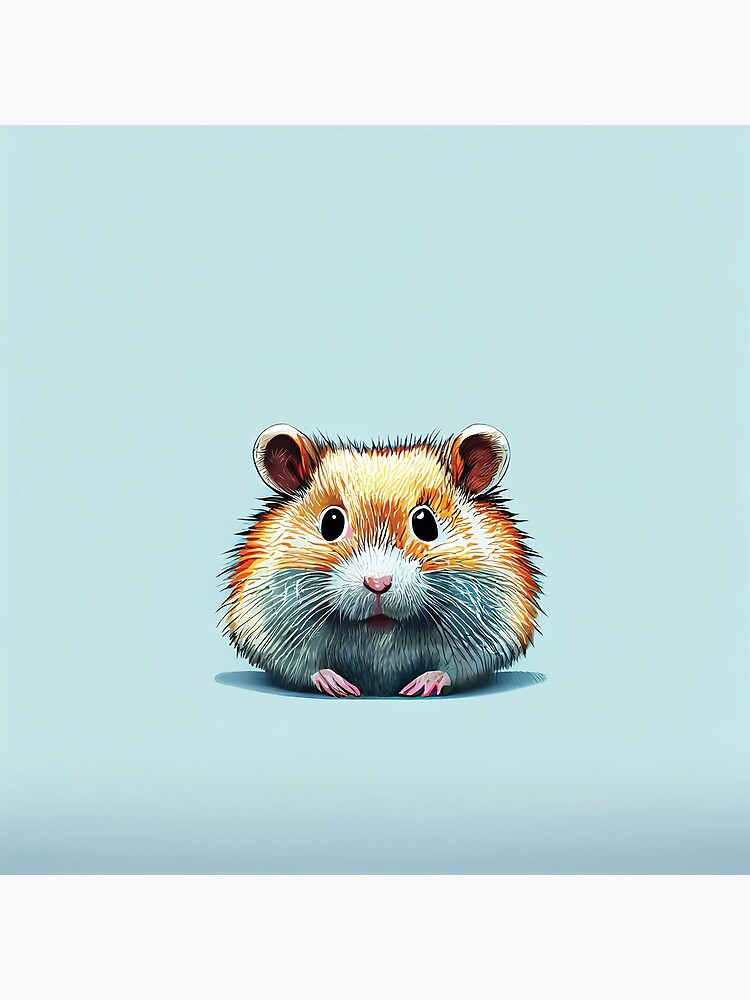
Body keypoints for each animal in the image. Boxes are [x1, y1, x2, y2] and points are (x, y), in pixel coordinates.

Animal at [219, 424, 542, 697]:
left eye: (425, 523)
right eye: (331, 522)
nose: (378, 584)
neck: (381, 629)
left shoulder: (494, 626)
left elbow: (457, 667)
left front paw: (420, 686)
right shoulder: (266, 622)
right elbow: (300, 665)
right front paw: (340, 686)